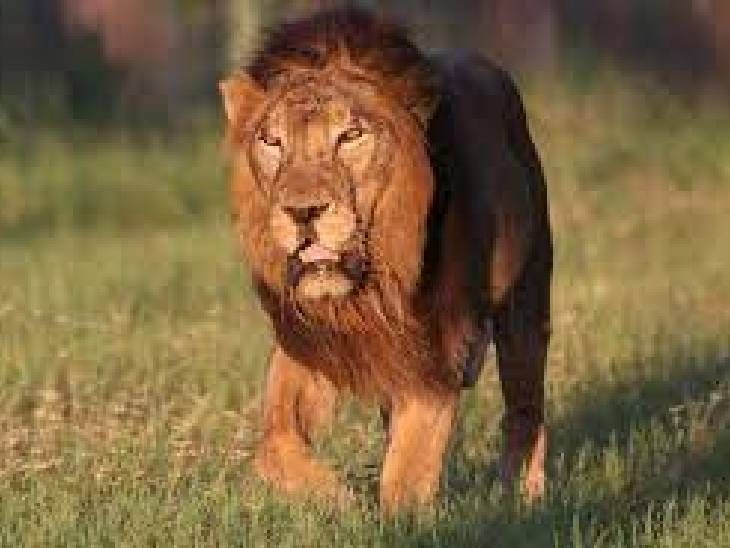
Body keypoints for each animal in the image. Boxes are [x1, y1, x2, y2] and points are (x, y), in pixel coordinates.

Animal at [219, 7, 552, 512]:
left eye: (351, 135)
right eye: (272, 142)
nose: (302, 212)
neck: (367, 291)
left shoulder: (435, 357)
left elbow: (405, 479)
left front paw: (396, 518)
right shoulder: (309, 342)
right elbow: (272, 445)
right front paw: (339, 501)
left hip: (525, 304)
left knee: (526, 412)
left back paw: (521, 499)